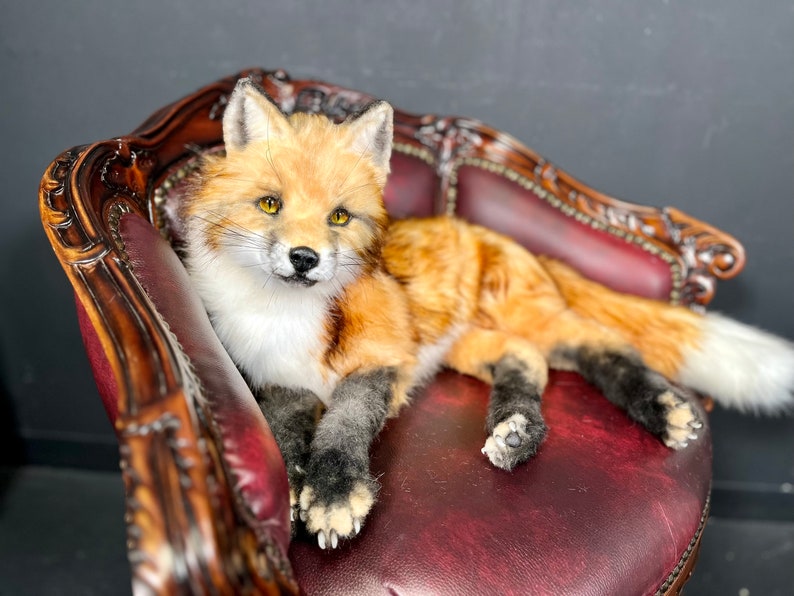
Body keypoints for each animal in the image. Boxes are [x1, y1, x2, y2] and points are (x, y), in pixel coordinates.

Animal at [182, 77, 794, 550]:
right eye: (270, 204)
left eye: (338, 217)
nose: (304, 259)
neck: (286, 318)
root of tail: (498, 236)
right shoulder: (278, 381)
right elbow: (283, 435)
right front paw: (288, 492)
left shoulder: (383, 356)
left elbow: (345, 422)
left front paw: (333, 492)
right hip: (466, 345)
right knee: (526, 362)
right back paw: (517, 428)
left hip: (535, 322)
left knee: (604, 347)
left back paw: (658, 408)